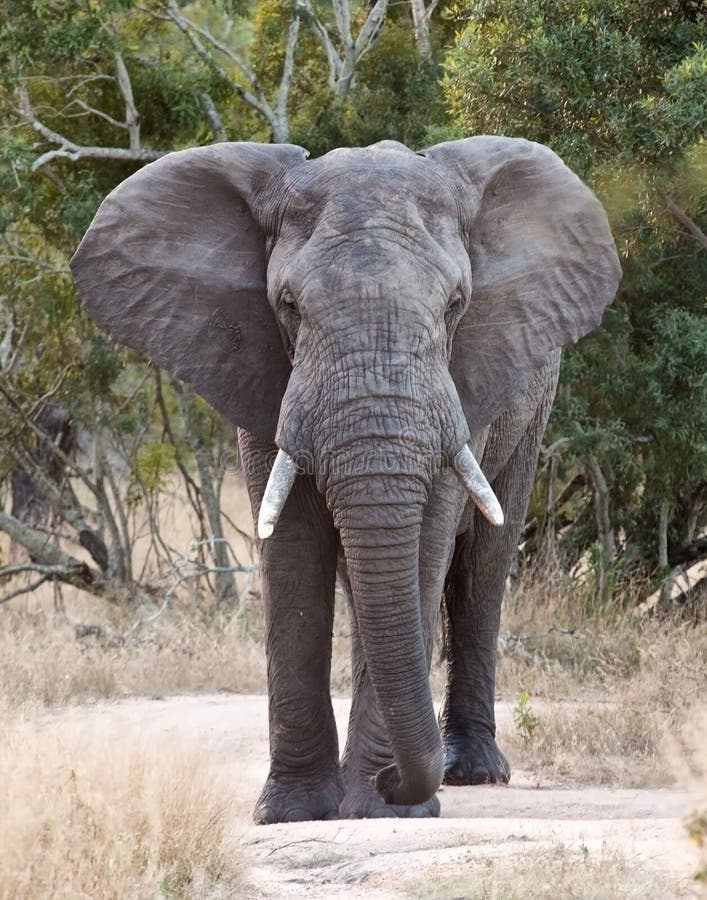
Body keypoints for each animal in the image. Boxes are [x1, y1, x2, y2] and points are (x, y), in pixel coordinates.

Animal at [70, 137, 620, 822]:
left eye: (456, 306)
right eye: (288, 307)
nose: (394, 782)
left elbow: (426, 546)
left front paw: (385, 812)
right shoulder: (262, 373)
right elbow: (292, 550)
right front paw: (291, 812)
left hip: (531, 402)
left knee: (481, 568)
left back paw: (470, 772)